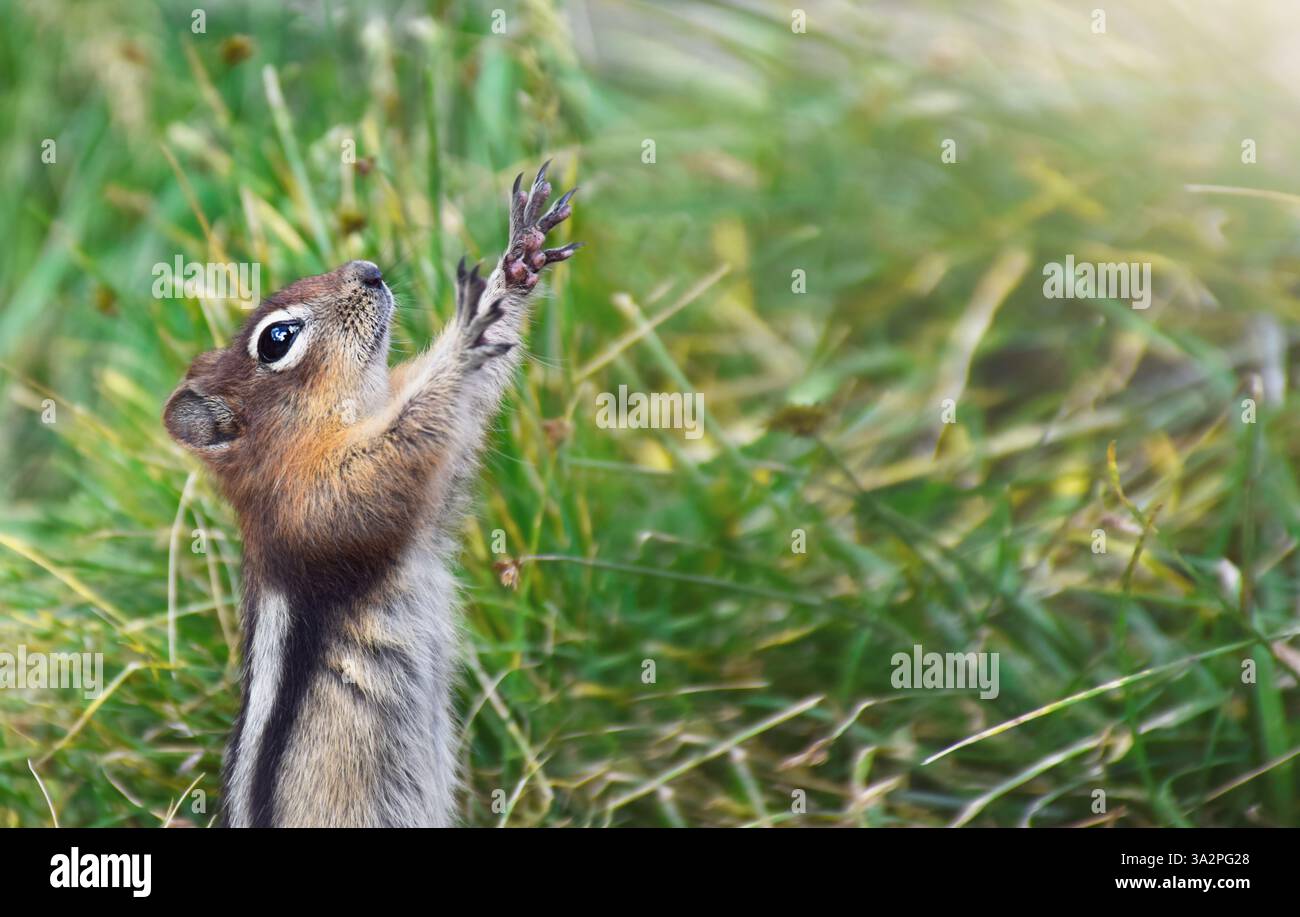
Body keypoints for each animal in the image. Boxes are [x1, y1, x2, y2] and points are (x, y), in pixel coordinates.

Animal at [163, 163, 579, 827]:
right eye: (277, 339)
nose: (369, 270)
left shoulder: (435, 481)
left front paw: (518, 261)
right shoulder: (315, 501)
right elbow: (388, 462)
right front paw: (466, 335)